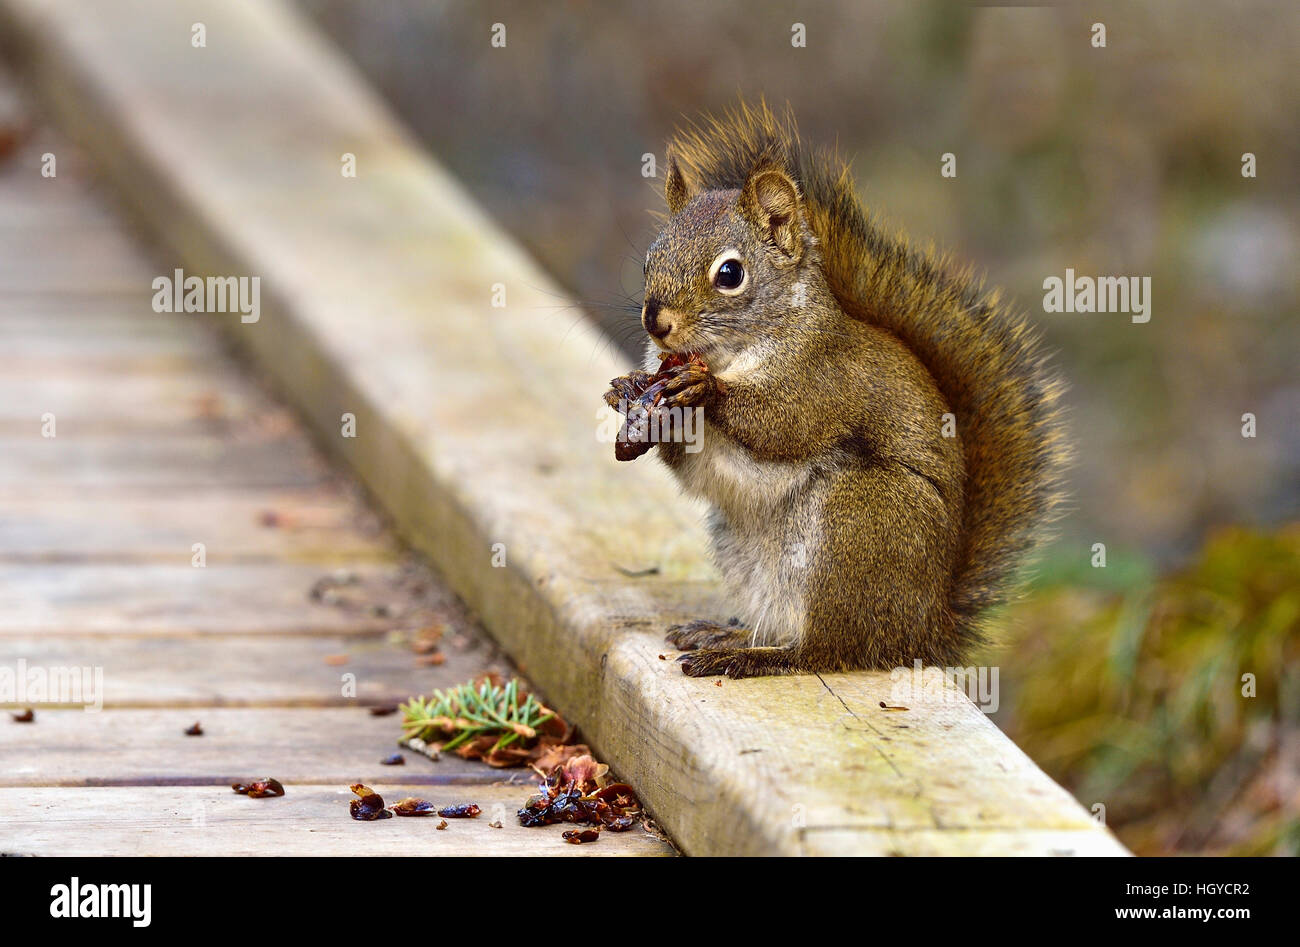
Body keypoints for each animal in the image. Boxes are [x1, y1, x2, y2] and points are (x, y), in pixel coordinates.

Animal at [605, 101, 1069, 679]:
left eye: (730, 273)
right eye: (649, 260)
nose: (656, 322)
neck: (730, 352)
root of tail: (920, 631)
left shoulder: (826, 379)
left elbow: (786, 422)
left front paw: (704, 389)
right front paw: (627, 392)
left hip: (853, 525)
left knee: (823, 651)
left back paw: (745, 658)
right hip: (747, 553)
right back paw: (725, 635)